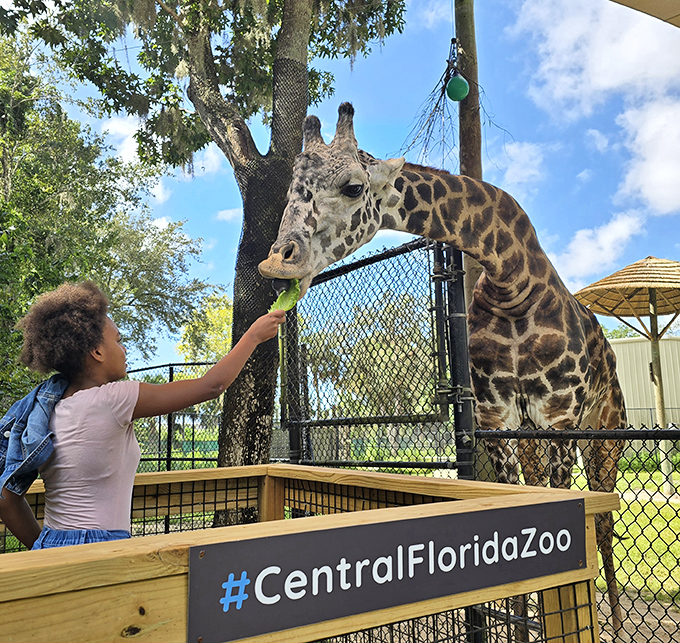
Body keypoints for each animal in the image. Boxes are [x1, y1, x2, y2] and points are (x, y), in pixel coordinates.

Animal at [259, 103, 625, 633]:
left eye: (353, 187)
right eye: (291, 190)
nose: (277, 264)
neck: (513, 282)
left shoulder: (560, 415)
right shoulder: (498, 419)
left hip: (603, 433)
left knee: (605, 521)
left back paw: (614, 620)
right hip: (535, 436)